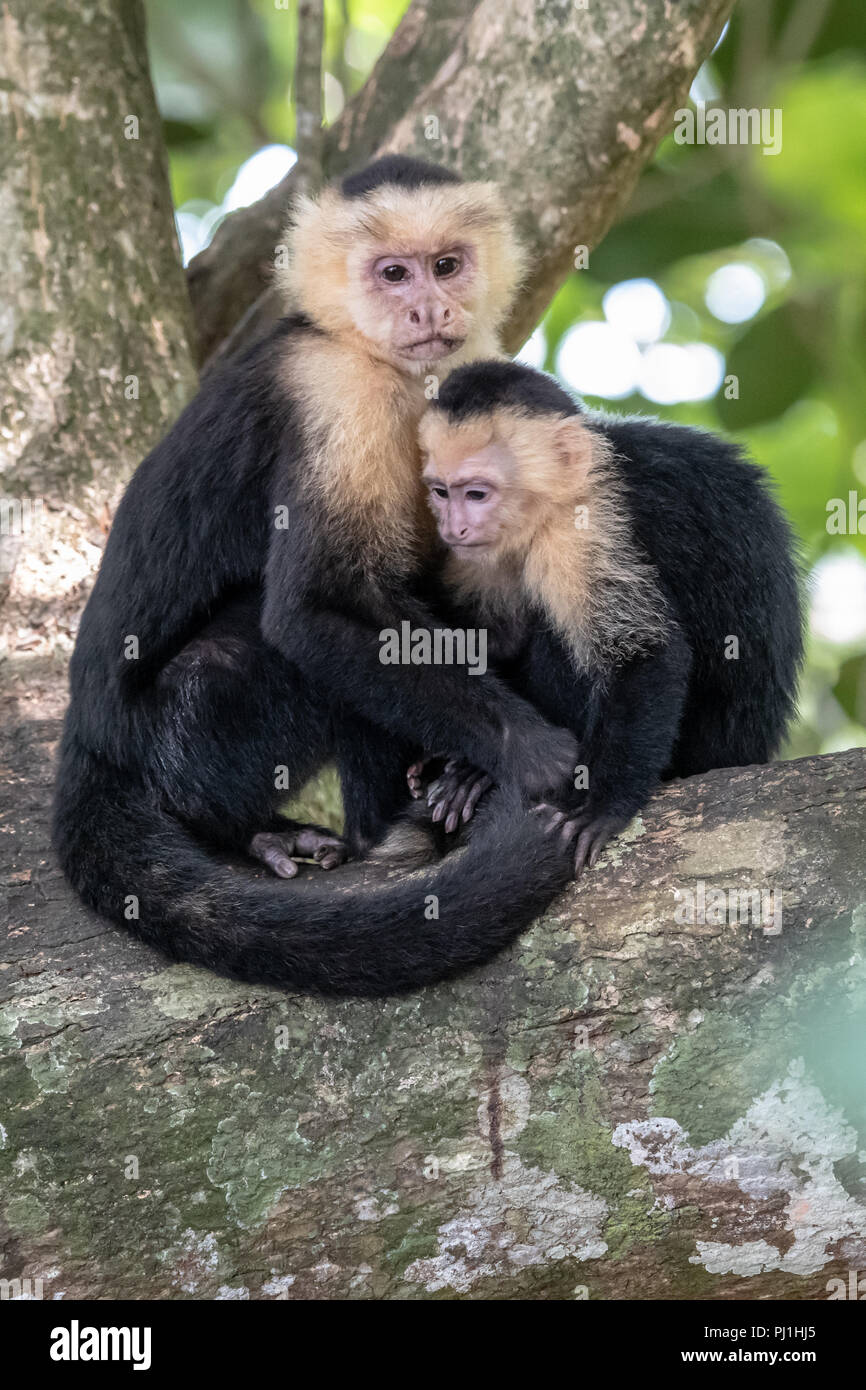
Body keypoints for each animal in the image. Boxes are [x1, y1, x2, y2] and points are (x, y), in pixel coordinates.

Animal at [52, 157, 579, 997]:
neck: (386, 364)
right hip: (163, 734)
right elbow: (316, 609)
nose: (429, 305)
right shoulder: (335, 393)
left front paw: (473, 767)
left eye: (446, 265)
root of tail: (84, 736)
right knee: (245, 658)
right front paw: (526, 750)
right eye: (393, 274)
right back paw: (269, 832)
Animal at [410, 358, 804, 874]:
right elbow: (494, 640)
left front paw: (600, 805)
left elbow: (643, 653)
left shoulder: (583, 526)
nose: (453, 528)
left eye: (476, 494)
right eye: (441, 492)